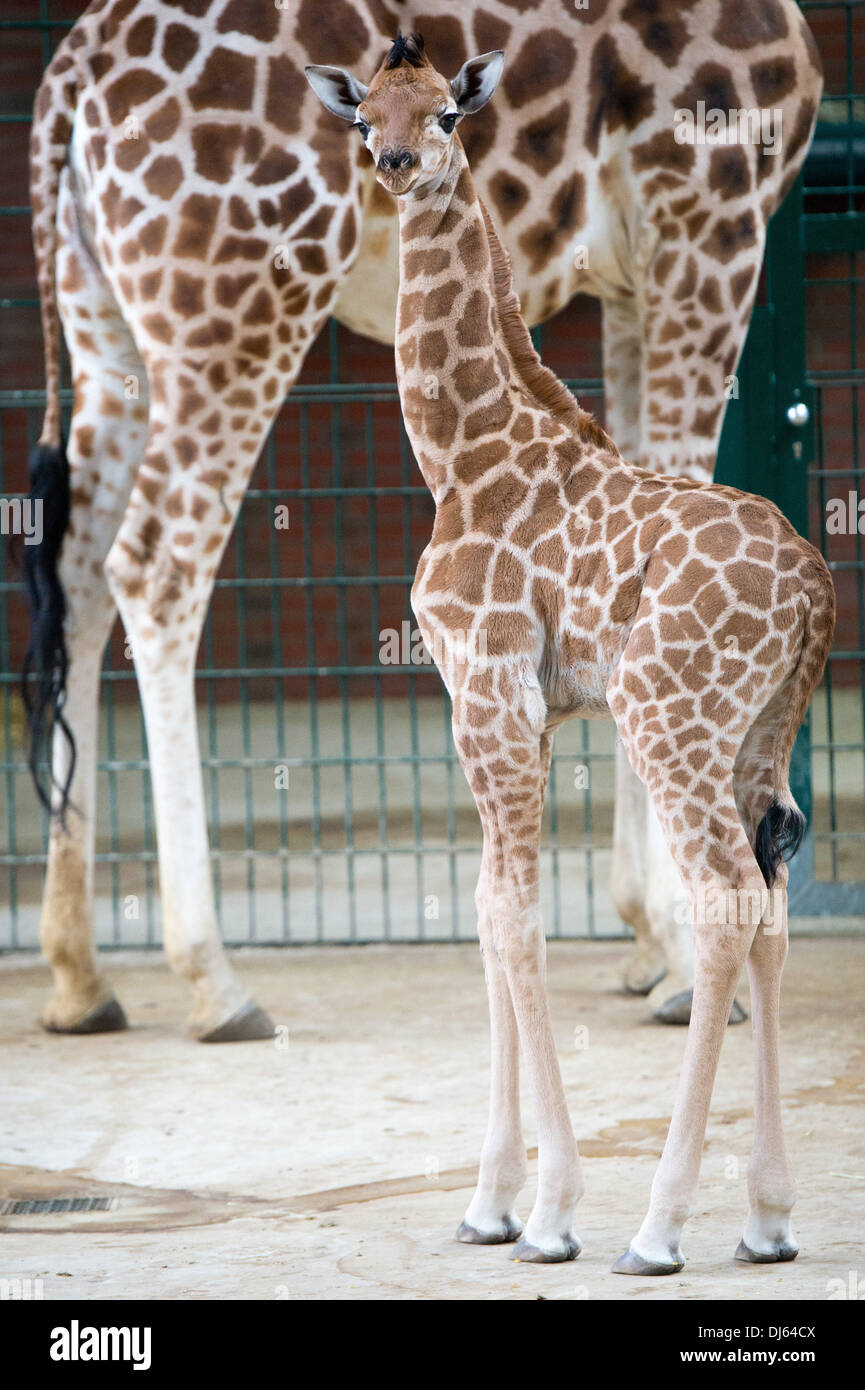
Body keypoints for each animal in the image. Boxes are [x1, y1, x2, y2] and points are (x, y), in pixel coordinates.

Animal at [24, 0, 823, 1038]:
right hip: (234, 301)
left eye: (446, 116)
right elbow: (676, 473)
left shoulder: (630, 274)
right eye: (367, 120)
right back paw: (214, 981)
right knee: (157, 564)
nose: (398, 160)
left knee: (76, 574)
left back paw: (80, 977)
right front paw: (682, 965)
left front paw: (647, 944)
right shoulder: (709, 212)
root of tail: (68, 77)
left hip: (103, 317)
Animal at [306, 32, 835, 1271]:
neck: (459, 457)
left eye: (449, 114)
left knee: (723, 901)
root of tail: (814, 590)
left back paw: (657, 1227)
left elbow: (513, 916)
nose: (398, 165)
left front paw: (545, 1211)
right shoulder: (511, 709)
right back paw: (766, 1217)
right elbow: (487, 907)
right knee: (773, 902)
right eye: (364, 121)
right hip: (757, 737)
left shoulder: (490, 694)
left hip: (666, 714)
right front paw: (489, 1201)